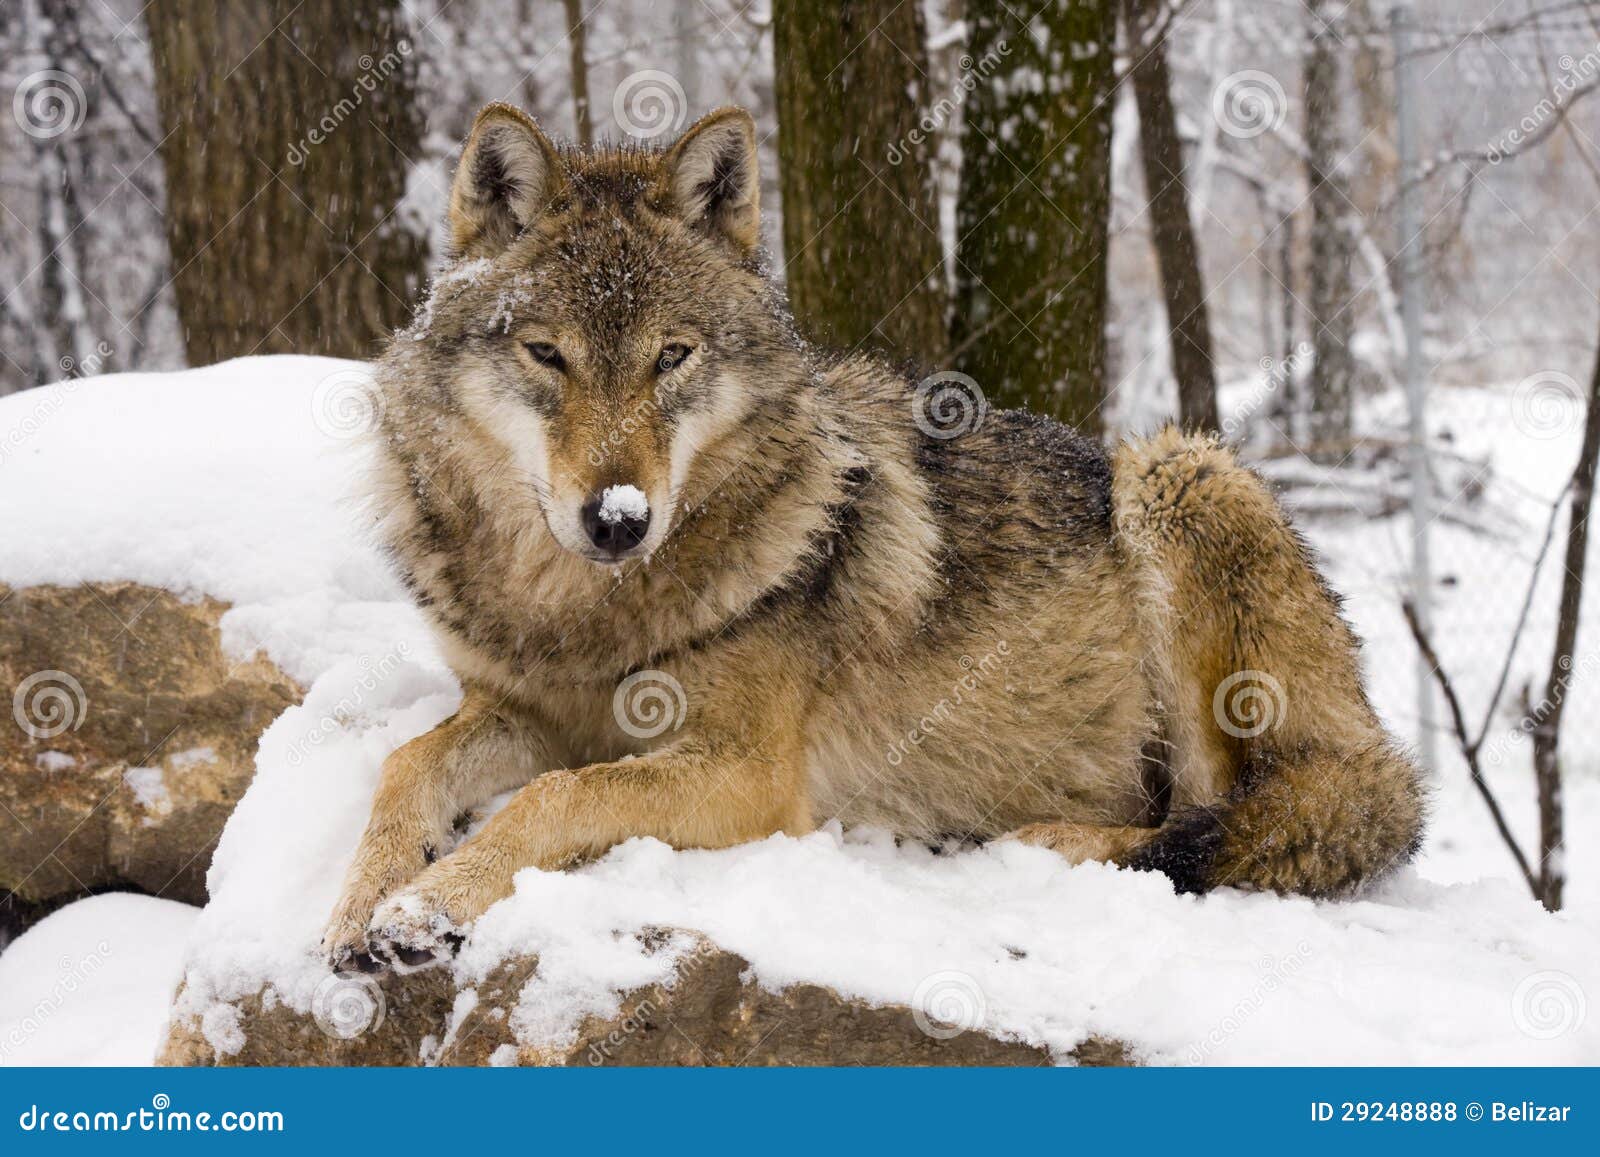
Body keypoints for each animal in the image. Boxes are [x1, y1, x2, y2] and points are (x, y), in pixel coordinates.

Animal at [322, 103, 1425, 970]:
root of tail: (1374, 737)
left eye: (672, 356)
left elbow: (552, 798)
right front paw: (360, 902)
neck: (575, 610)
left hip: (1180, 469)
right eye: (547, 354)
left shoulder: (745, 775)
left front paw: (424, 904)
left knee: (1214, 819)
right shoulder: (522, 708)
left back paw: (1039, 841)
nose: (618, 518)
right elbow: (406, 764)